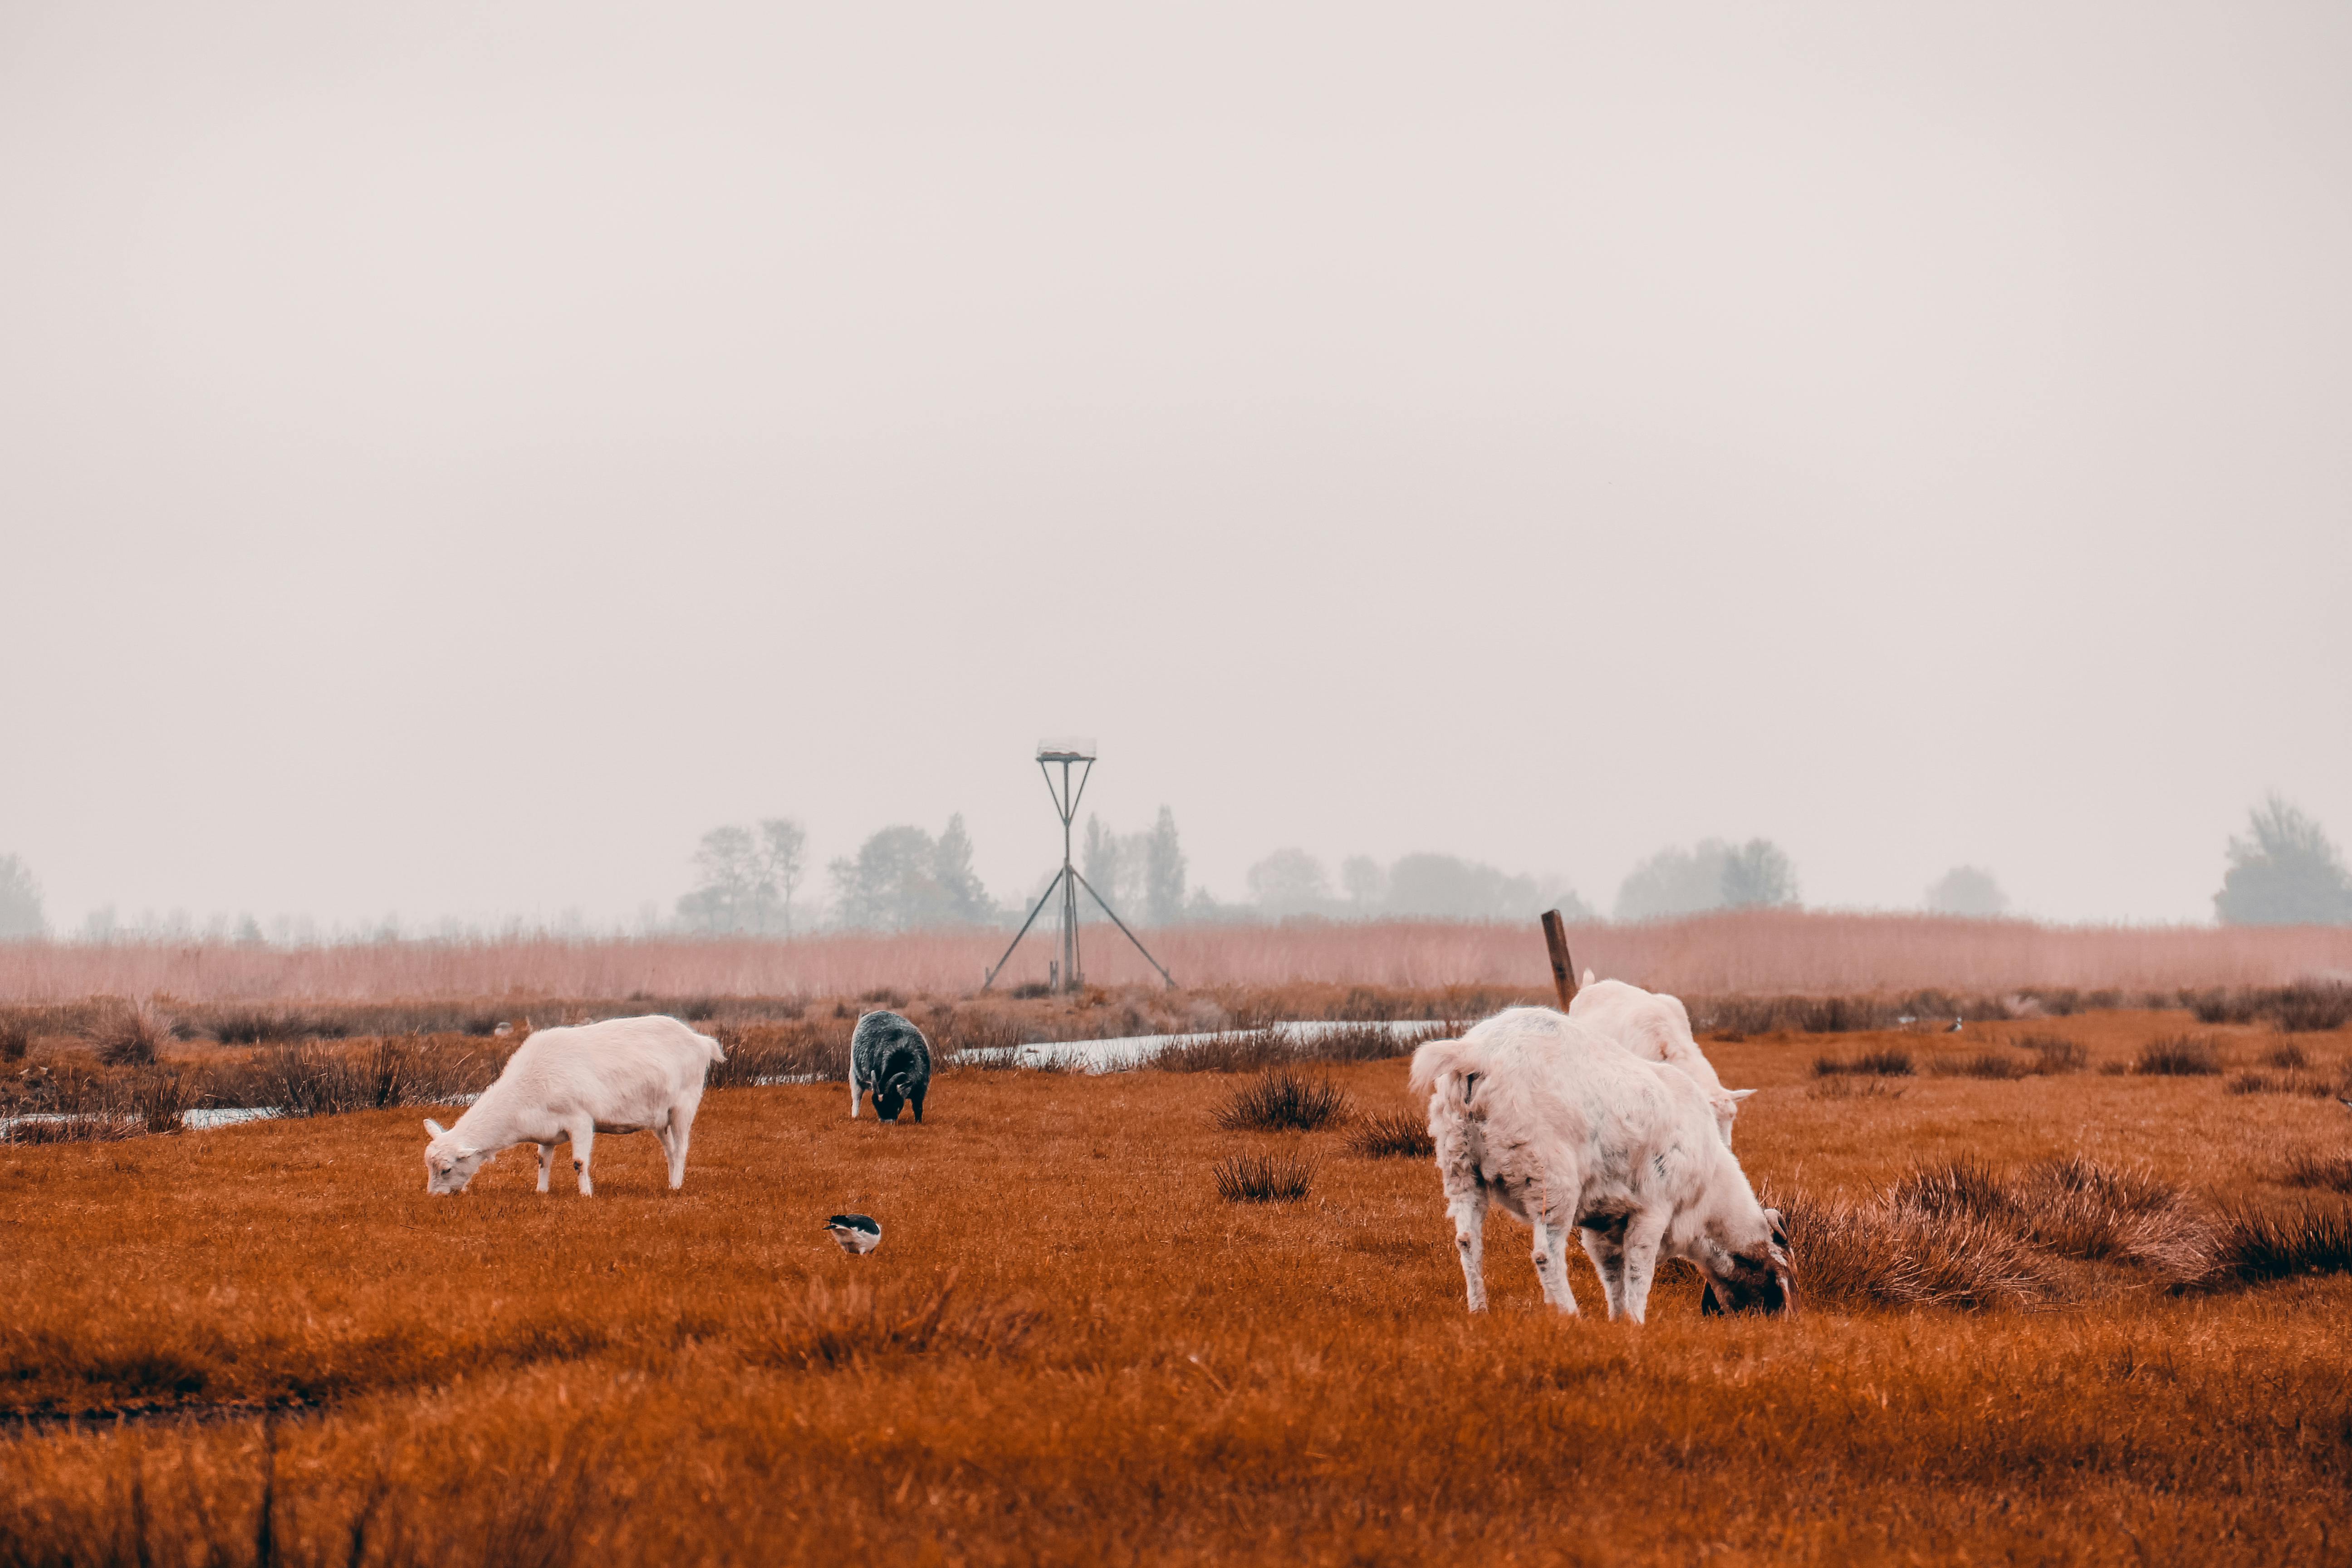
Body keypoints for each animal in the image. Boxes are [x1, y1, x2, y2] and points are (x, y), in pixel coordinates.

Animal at [421, 1014, 723, 1196]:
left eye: (446, 1169)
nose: (434, 1197)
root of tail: (702, 1041)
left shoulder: (580, 1120)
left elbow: (580, 1162)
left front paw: (586, 1194)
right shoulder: (547, 1131)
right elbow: (543, 1160)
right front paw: (541, 1192)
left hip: (684, 1106)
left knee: (682, 1148)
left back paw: (677, 1186)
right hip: (660, 1118)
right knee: (671, 1151)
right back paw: (671, 1184)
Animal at [848, 1010, 931, 1123]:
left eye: (894, 1102)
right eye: (876, 1106)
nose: (887, 1122)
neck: (902, 1055)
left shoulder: (921, 1088)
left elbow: (918, 1108)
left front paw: (918, 1122)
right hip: (855, 1075)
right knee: (857, 1097)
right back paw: (855, 1117)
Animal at [1410, 1006, 1794, 1322]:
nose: (1771, 1321)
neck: (1709, 1196)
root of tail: (1475, 1056)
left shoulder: (1602, 1222)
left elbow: (1613, 1274)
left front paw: (1618, 1321)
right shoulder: (1654, 1209)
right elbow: (1639, 1269)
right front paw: (1636, 1323)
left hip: (1460, 1167)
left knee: (1467, 1241)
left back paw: (1479, 1310)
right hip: (1550, 1179)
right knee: (1546, 1255)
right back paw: (1570, 1315)